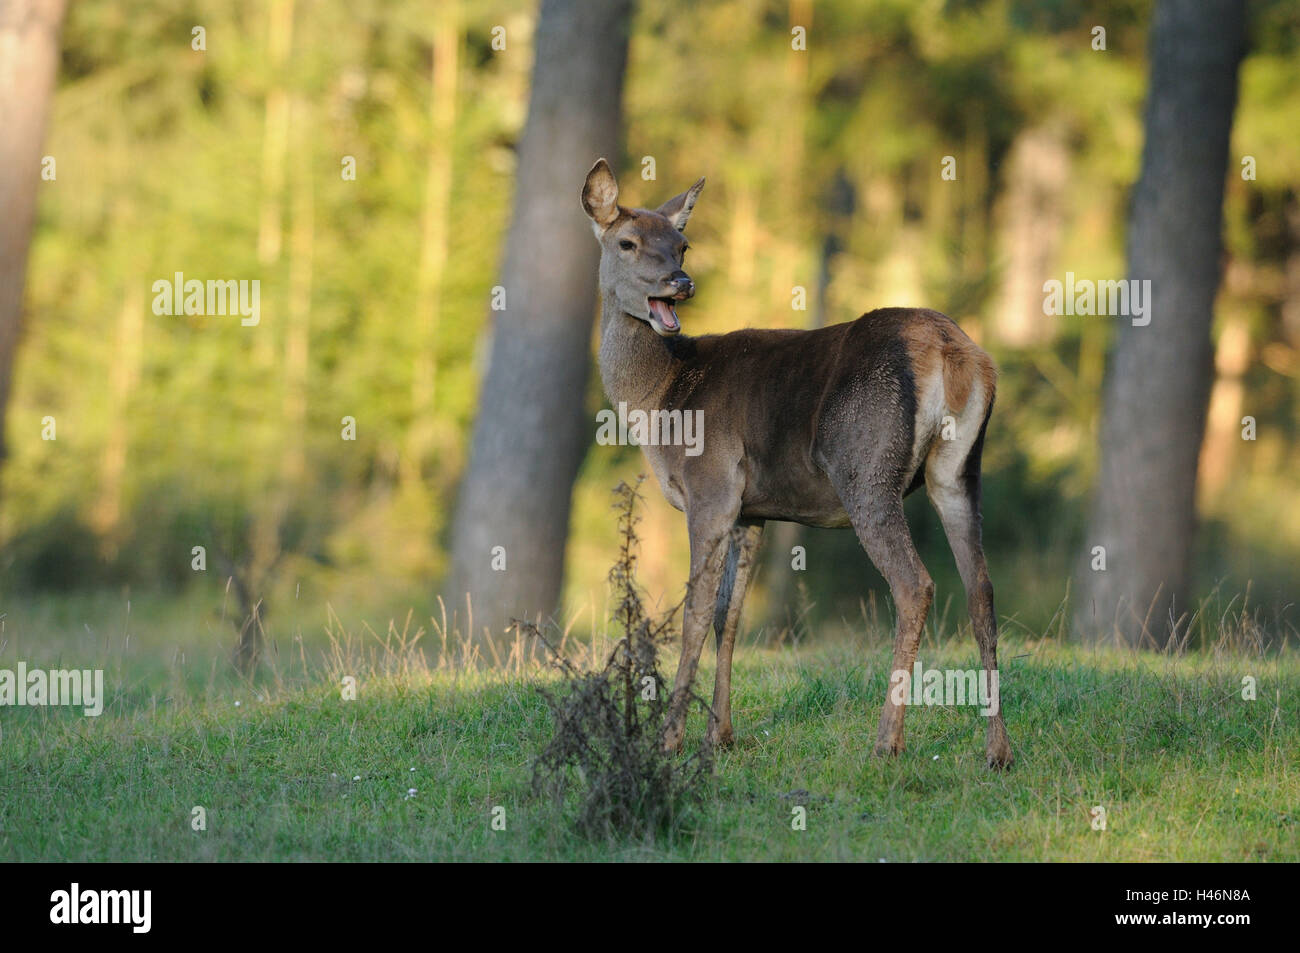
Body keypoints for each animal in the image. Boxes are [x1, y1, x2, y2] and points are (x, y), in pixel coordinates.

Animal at [582, 158, 1013, 769]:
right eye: (628, 242)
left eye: (682, 244)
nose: (680, 283)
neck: (661, 399)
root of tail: (954, 352)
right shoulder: (752, 511)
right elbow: (729, 613)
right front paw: (721, 735)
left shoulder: (711, 486)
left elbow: (694, 613)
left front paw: (671, 740)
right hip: (958, 470)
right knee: (981, 589)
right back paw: (998, 749)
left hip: (864, 465)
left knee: (915, 585)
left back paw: (887, 741)